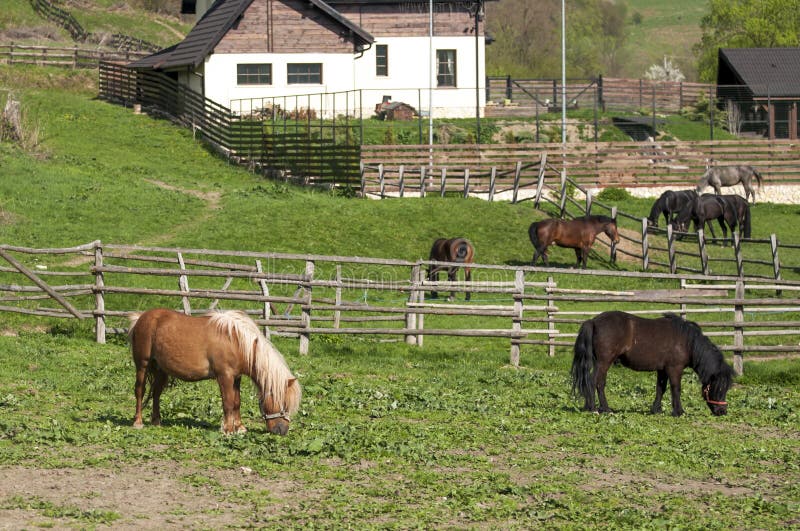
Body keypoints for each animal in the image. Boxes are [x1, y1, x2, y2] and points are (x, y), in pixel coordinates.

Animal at [128, 309, 302, 435]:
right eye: (283, 403)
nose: (282, 431)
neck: (237, 342)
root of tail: (141, 318)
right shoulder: (224, 376)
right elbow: (228, 402)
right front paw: (228, 430)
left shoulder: (236, 377)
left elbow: (237, 402)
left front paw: (240, 428)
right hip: (142, 365)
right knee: (140, 391)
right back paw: (138, 422)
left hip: (161, 370)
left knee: (156, 394)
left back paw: (156, 421)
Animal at [571, 311, 734, 416]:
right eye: (719, 388)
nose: (723, 412)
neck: (688, 342)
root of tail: (593, 321)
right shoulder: (674, 368)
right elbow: (676, 388)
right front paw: (679, 412)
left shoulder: (662, 370)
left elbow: (660, 388)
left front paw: (656, 409)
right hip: (604, 362)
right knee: (596, 382)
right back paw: (599, 408)